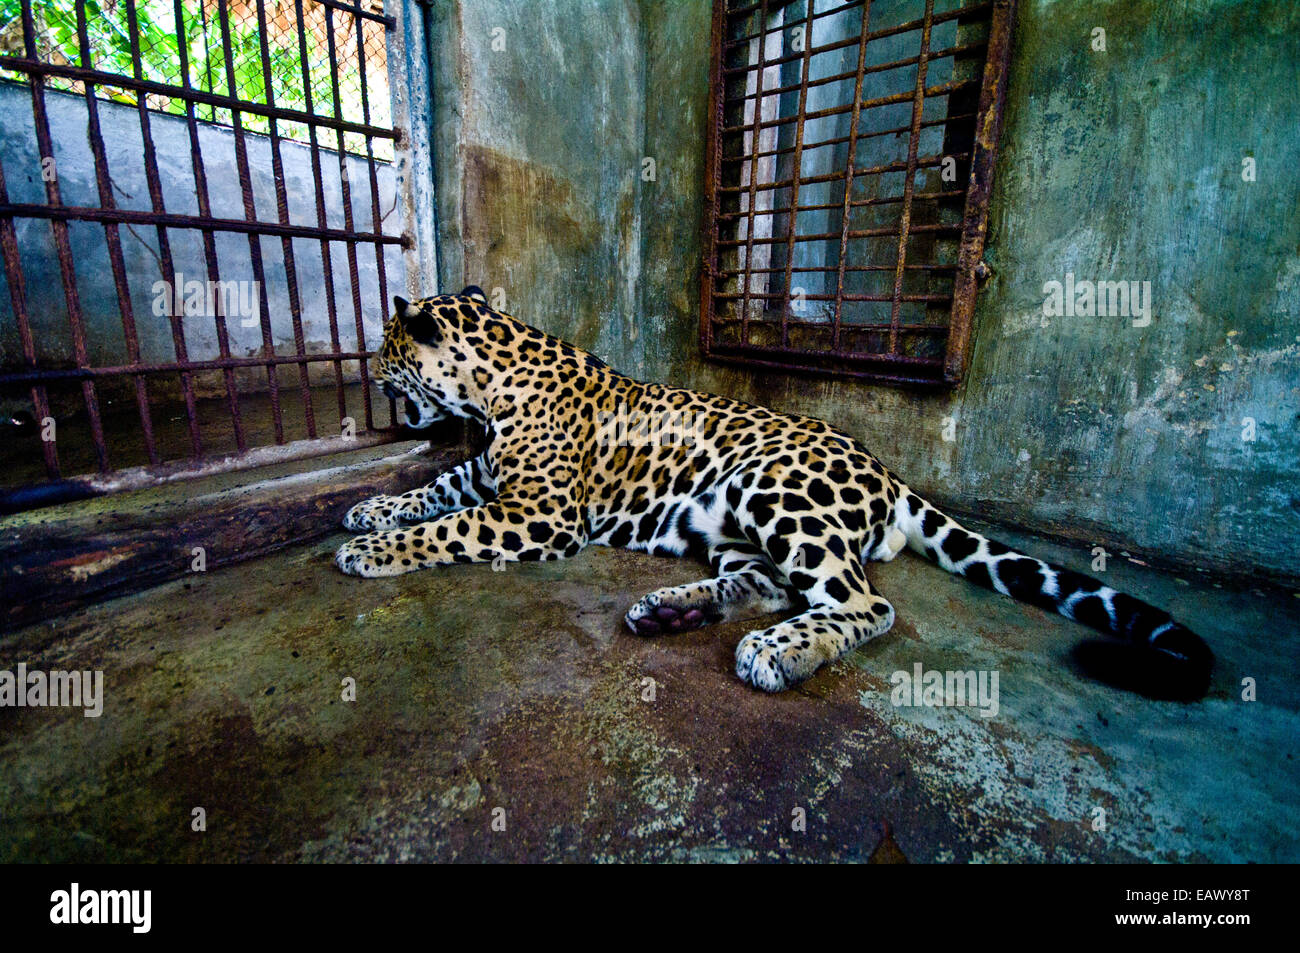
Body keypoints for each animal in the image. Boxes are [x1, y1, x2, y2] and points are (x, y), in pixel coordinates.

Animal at [335, 287, 1214, 700]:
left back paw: (778, 653)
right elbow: (437, 490)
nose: (369, 372)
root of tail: (888, 471)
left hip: (775, 485)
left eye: (387, 347)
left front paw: (369, 549)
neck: (490, 384)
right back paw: (673, 611)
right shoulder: (489, 478)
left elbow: (448, 528)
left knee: (865, 603)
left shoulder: (539, 515)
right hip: (726, 518)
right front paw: (371, 510)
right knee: (767, 582)